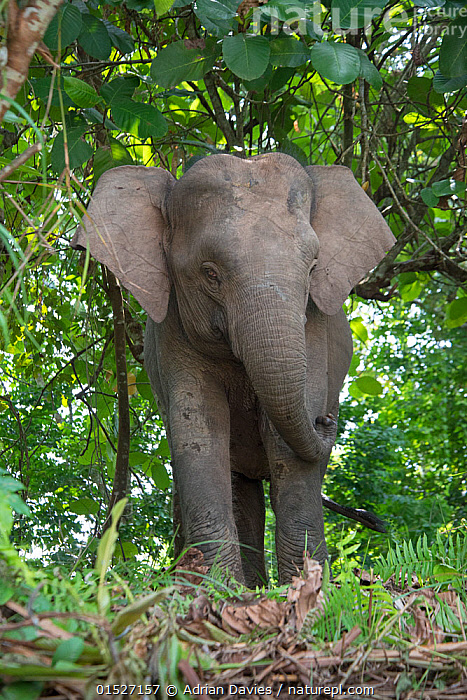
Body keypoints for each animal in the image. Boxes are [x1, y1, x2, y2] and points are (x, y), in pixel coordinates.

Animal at [72, 153, 395, 586]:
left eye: (313, 268)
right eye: (210, 273)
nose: (326, 420)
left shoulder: (315, 325)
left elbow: (283, 442)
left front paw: (307, 587)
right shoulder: (172, 331)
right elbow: (199, 428)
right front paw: (220, 590)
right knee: (242, 488)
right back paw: (253, 586)